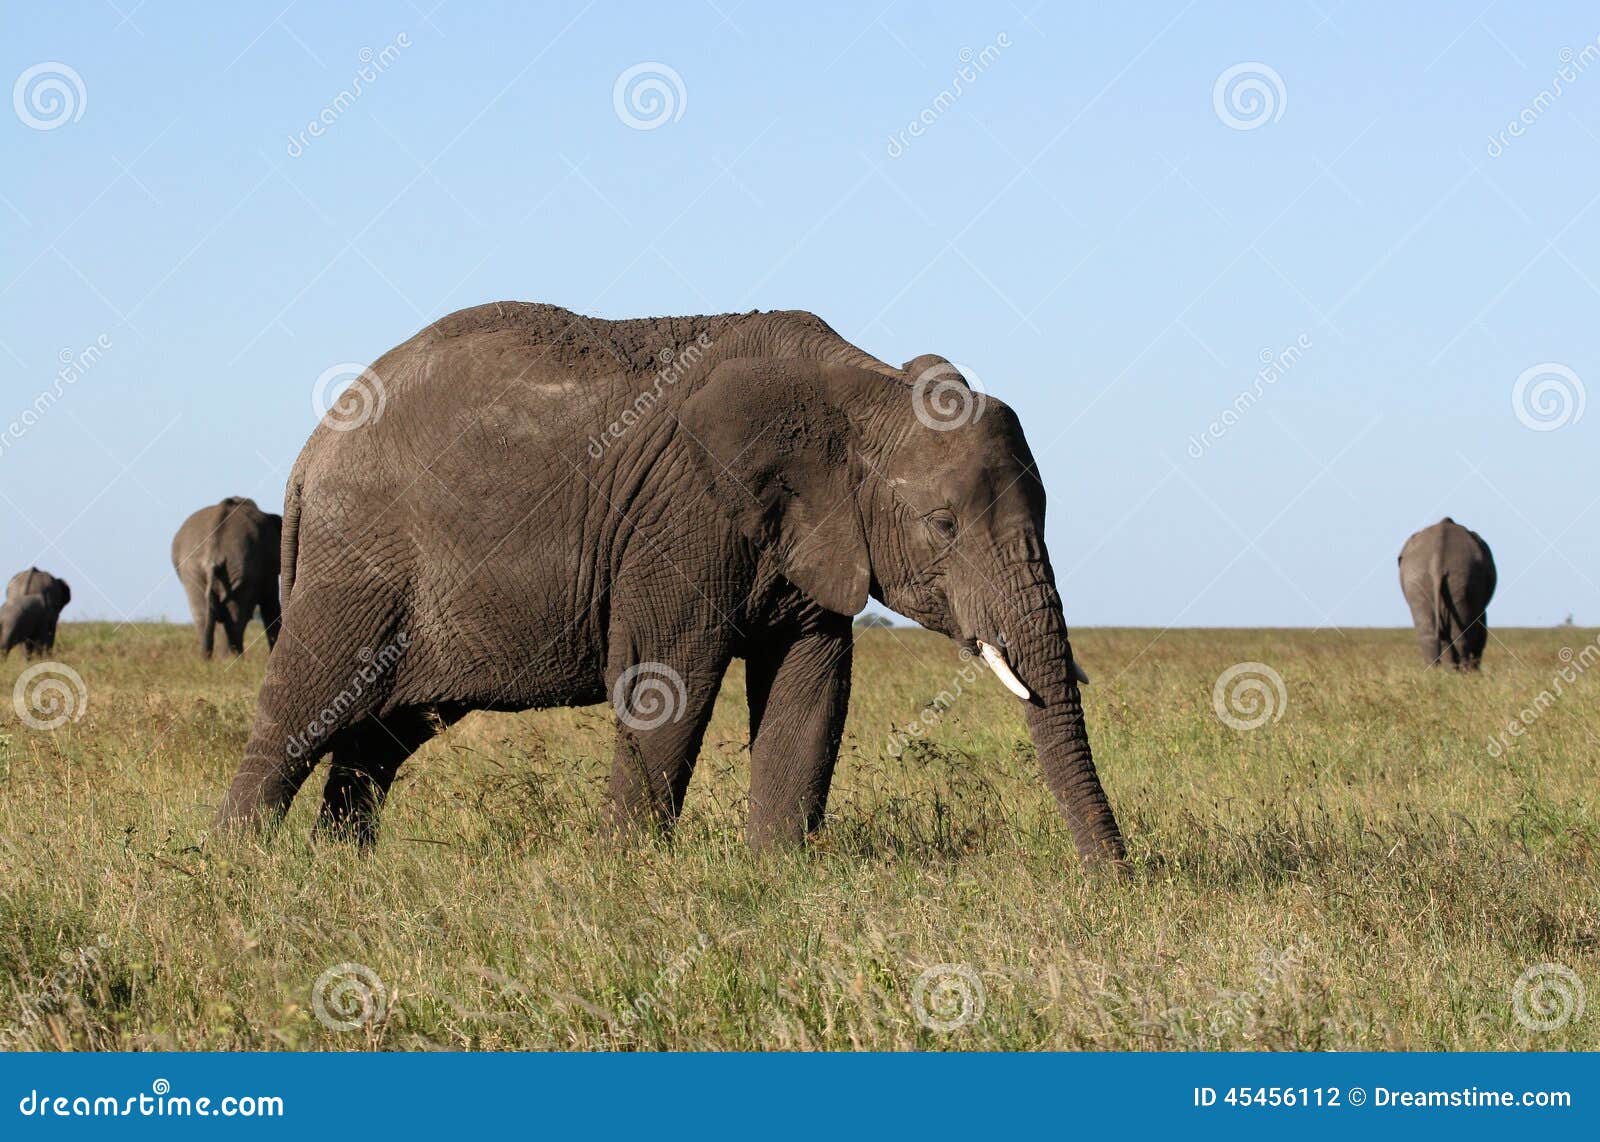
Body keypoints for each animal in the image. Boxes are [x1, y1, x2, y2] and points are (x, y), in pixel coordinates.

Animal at [171, 497, 283, 658]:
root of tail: (213, 553)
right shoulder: (270, 568)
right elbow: (271, 605)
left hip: (194, 571)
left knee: (205, 615)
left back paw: (210, 660)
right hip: (235, 569)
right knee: (235, 618)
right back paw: (233, 660)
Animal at [215, 302, 1125, 866]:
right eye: (942, 524)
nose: (1115, 880)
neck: (860, 388)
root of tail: (309, 455)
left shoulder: (812, 534)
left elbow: (813, 690)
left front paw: (776, 875)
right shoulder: (683, 515)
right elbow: (668, 681)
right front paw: (626, 874)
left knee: (380, 737)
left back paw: (342, 867)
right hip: (357, 562)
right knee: (301, 711)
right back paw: (239, 864)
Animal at [1398, 517, 1496, 670]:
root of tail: (1438, 559)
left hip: (1419, 578)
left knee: (1430, 634)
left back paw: (1436, 671)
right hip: (1462, 577)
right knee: (1460, 632)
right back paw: (1464, 671)